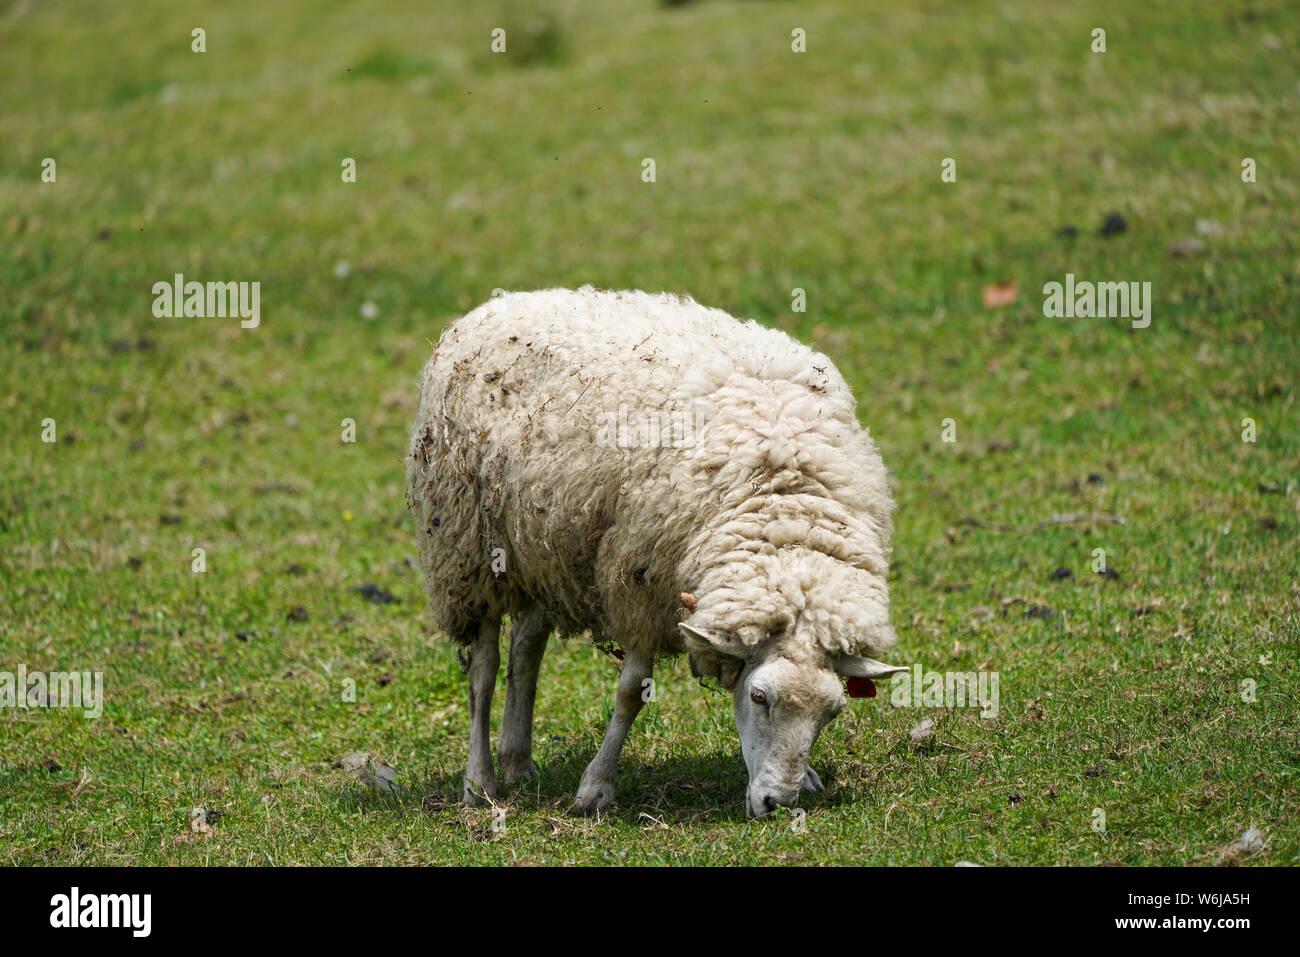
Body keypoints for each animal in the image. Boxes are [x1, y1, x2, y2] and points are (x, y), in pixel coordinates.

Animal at [405, 286, 905, 816]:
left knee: (525, 649)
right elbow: (630, 695)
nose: (776, 802)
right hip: (468, 551)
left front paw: (806, 775)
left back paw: (517, 762)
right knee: (483, 670)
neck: (787, 504)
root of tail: (500, 302)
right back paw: (479, 781)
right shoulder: (638, 584)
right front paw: (595, 788)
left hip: (545, 546)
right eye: (759, 697)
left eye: (832, 712)